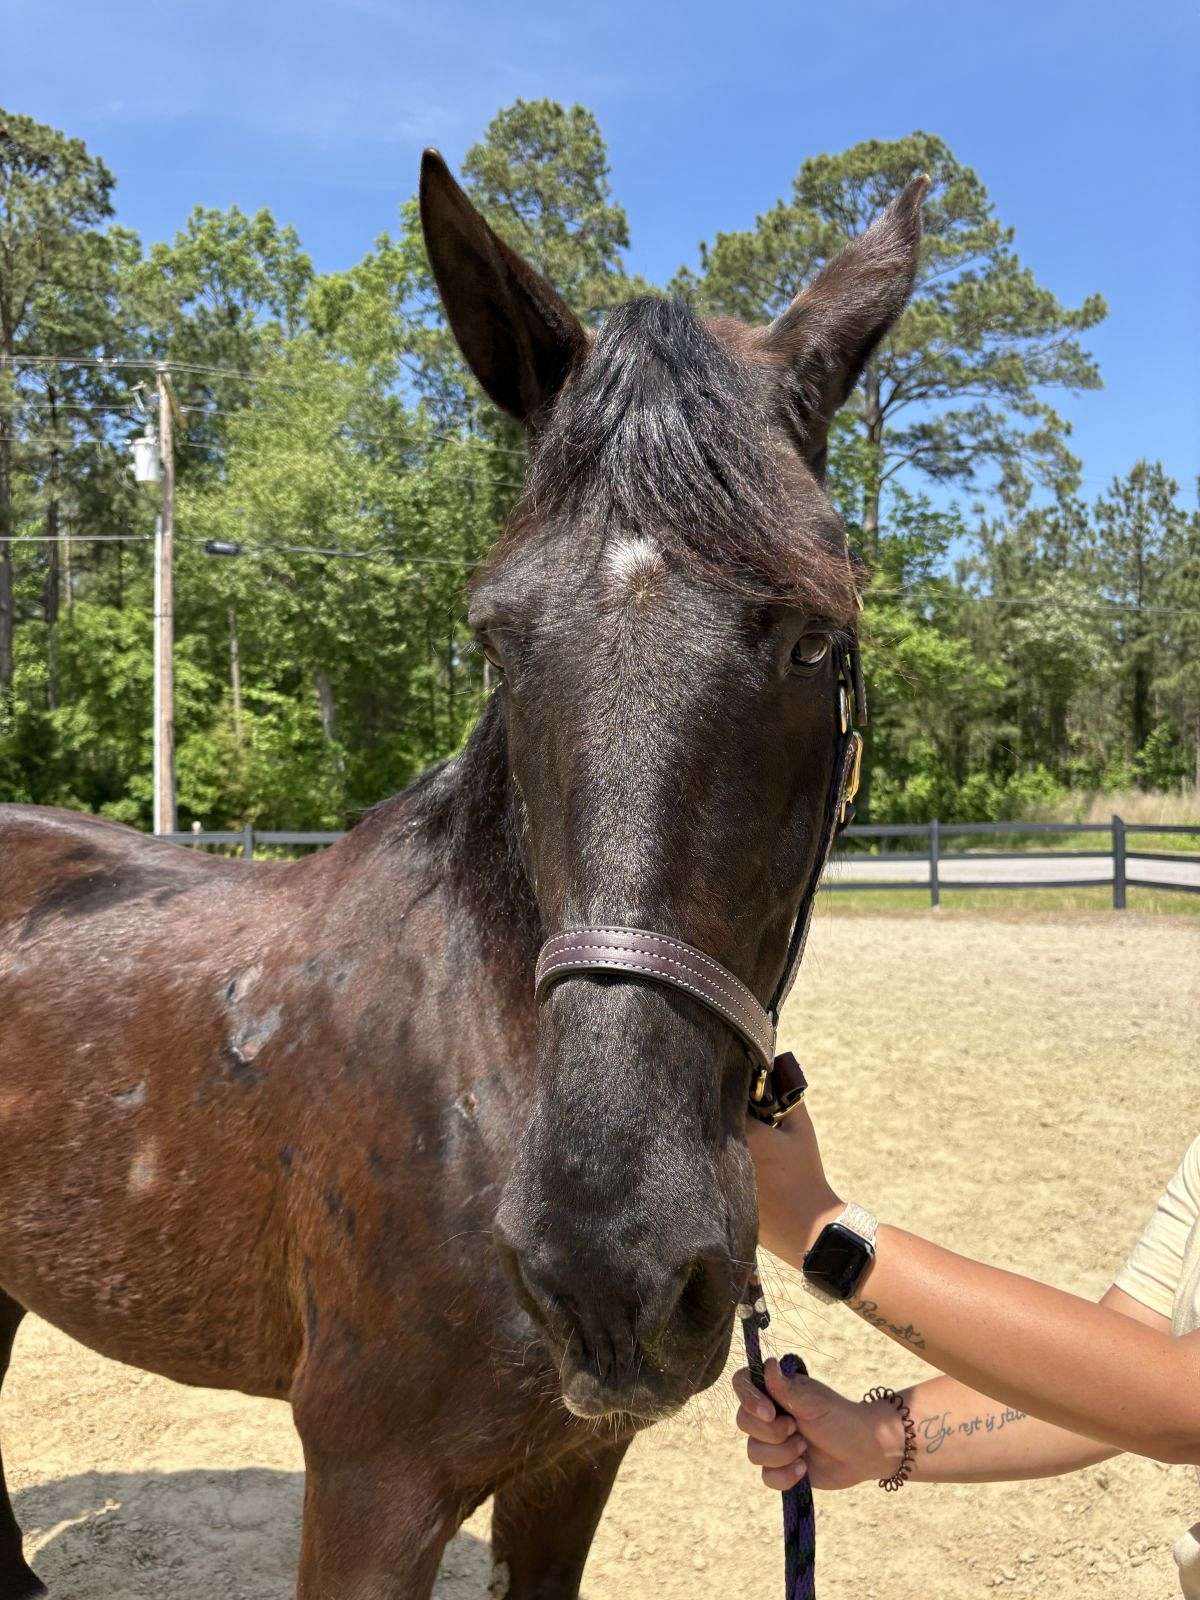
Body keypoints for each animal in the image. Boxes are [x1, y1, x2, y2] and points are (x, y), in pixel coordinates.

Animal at [0, 150, 925, 1599]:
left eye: (817, 637)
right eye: (496, 640)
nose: (610, 1266)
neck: (474, 1076)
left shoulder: (570, 1467)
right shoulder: (370, 1487)